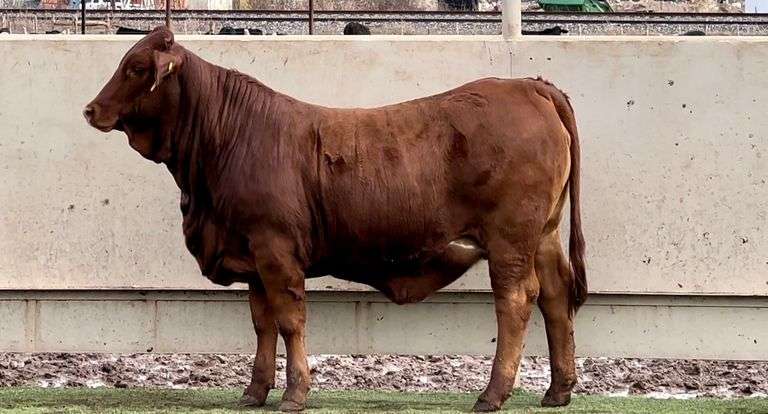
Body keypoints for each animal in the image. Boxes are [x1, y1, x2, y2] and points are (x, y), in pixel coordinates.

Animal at [83, 26, 586, 412]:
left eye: (135, 68)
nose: (90, 109)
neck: (226, 139)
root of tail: (528, 85)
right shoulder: (251, 256)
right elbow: (263, 324)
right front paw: (254, 392)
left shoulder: (276, 250)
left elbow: (290, 320)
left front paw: (295, 394)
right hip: (543, 235)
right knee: (555, 296)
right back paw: (557, 390)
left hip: (509, 240)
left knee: (516, 302)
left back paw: (492, 394)